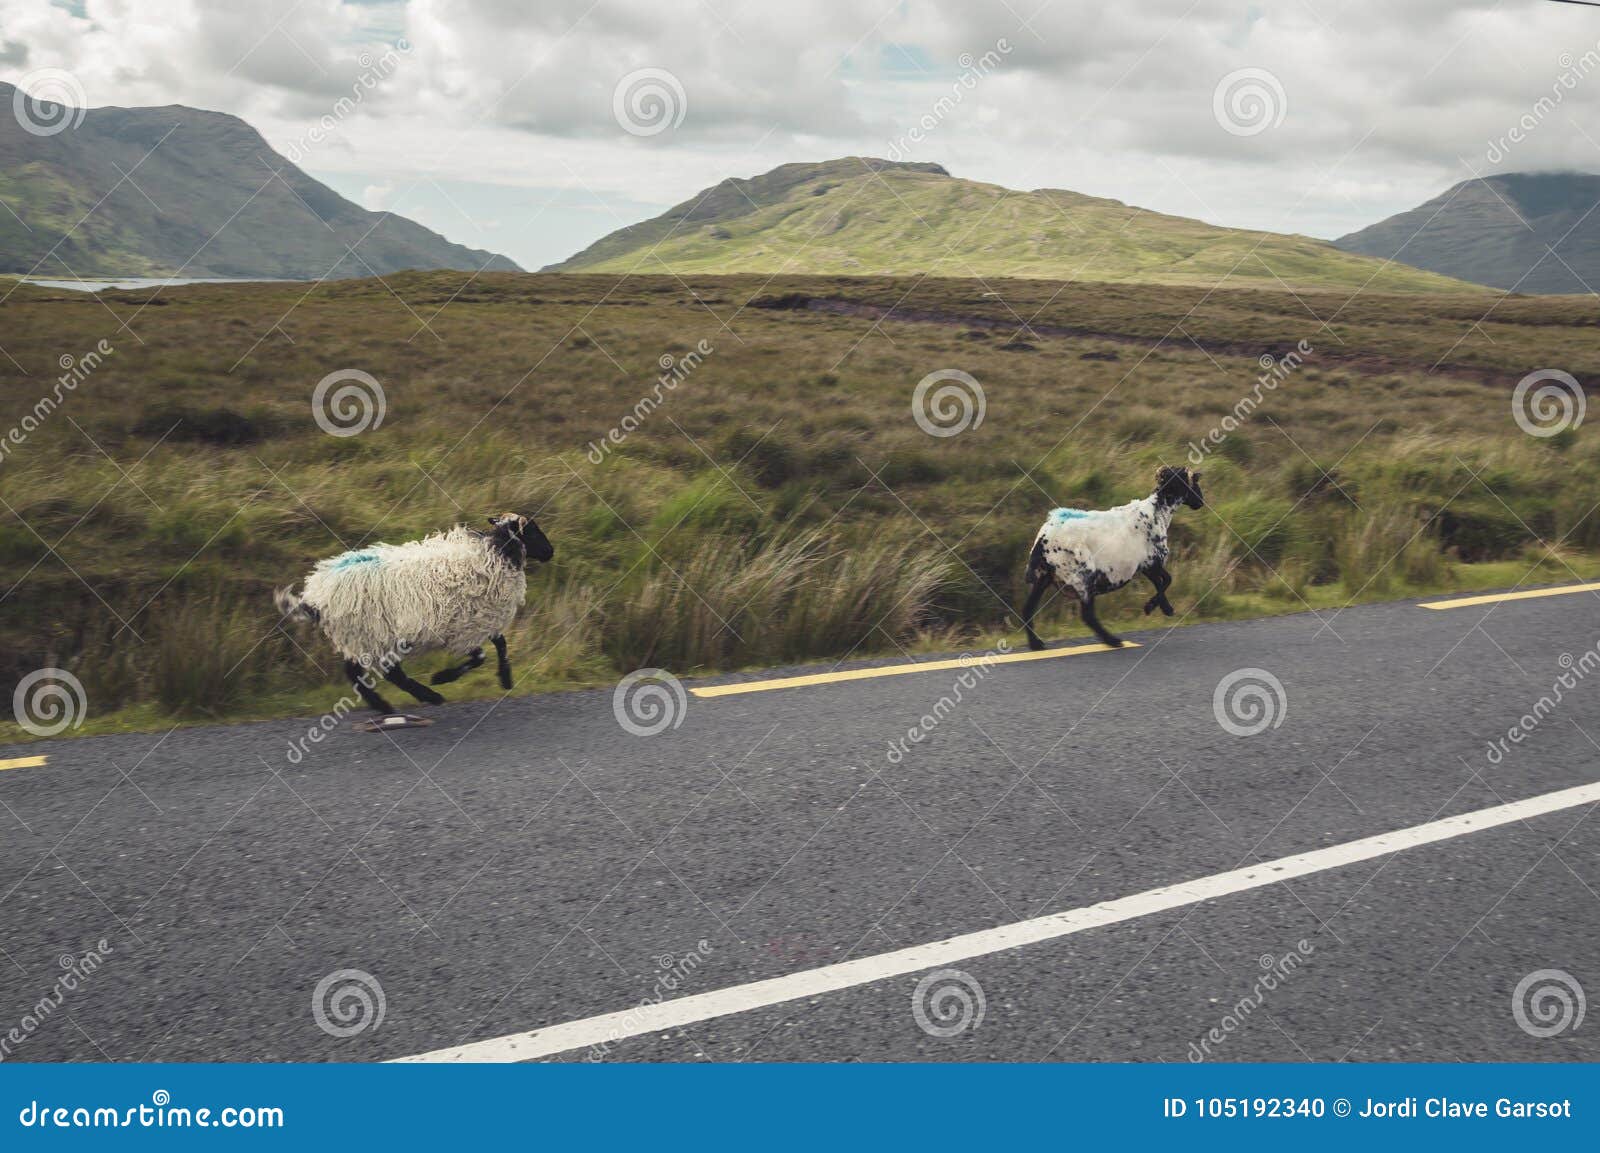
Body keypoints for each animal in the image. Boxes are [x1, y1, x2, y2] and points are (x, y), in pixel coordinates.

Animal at [275, 512, 554, 715]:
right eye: (531, 529)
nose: (550, 551)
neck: (495, 554)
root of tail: (316, 597)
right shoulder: (465, 627)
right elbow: (482, 656)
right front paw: (443, 677)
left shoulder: (477, 620)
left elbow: (501, 644)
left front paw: (505, 679)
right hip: (372, 634)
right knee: (385, 673)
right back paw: (422, 698)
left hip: (360, 636)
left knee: (363, 672)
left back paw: (388, 704)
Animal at [1019, 466, 1203, 651]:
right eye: (1193, 481)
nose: (1201, 502)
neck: (1158, 511)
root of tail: (1043, 539)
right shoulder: (1152, 562)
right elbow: (1167, 580)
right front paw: (1151, 607)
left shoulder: (1146, 566)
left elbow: (1160, 583)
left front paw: (1165, 608)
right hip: (1083, 576)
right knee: (1087, 615)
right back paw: (1112, 641)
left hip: (1044, 576)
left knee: (1027, 609)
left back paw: (1035, 643)